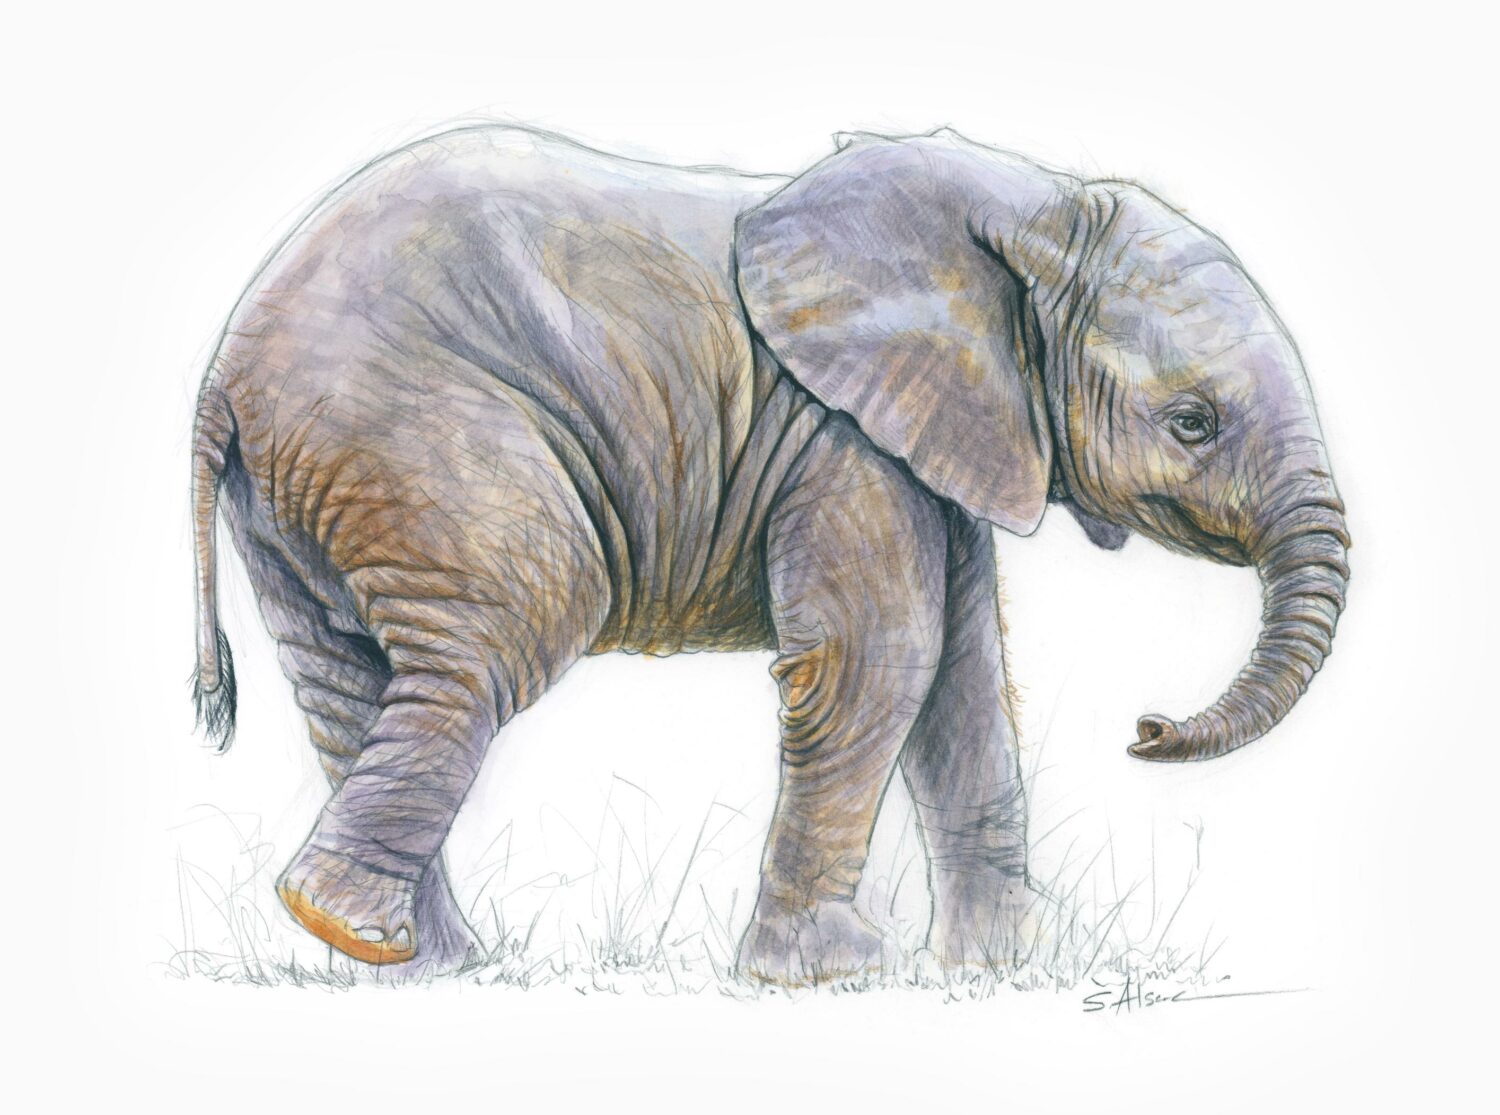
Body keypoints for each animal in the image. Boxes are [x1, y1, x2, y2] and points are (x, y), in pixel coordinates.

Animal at [188, 125, 1349, 983]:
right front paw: (833, 976)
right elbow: (883, 656)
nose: (1145, 728)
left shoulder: (934, 438)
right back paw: (353, 930)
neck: (1030, 207)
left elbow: (965, 678)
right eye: (1193, 423)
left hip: (311, 483)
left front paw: (1006, 971)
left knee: (350, 679)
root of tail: (226, 368)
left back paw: (419, 962)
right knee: (496, 643)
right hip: (419, 438)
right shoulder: (841, 436)